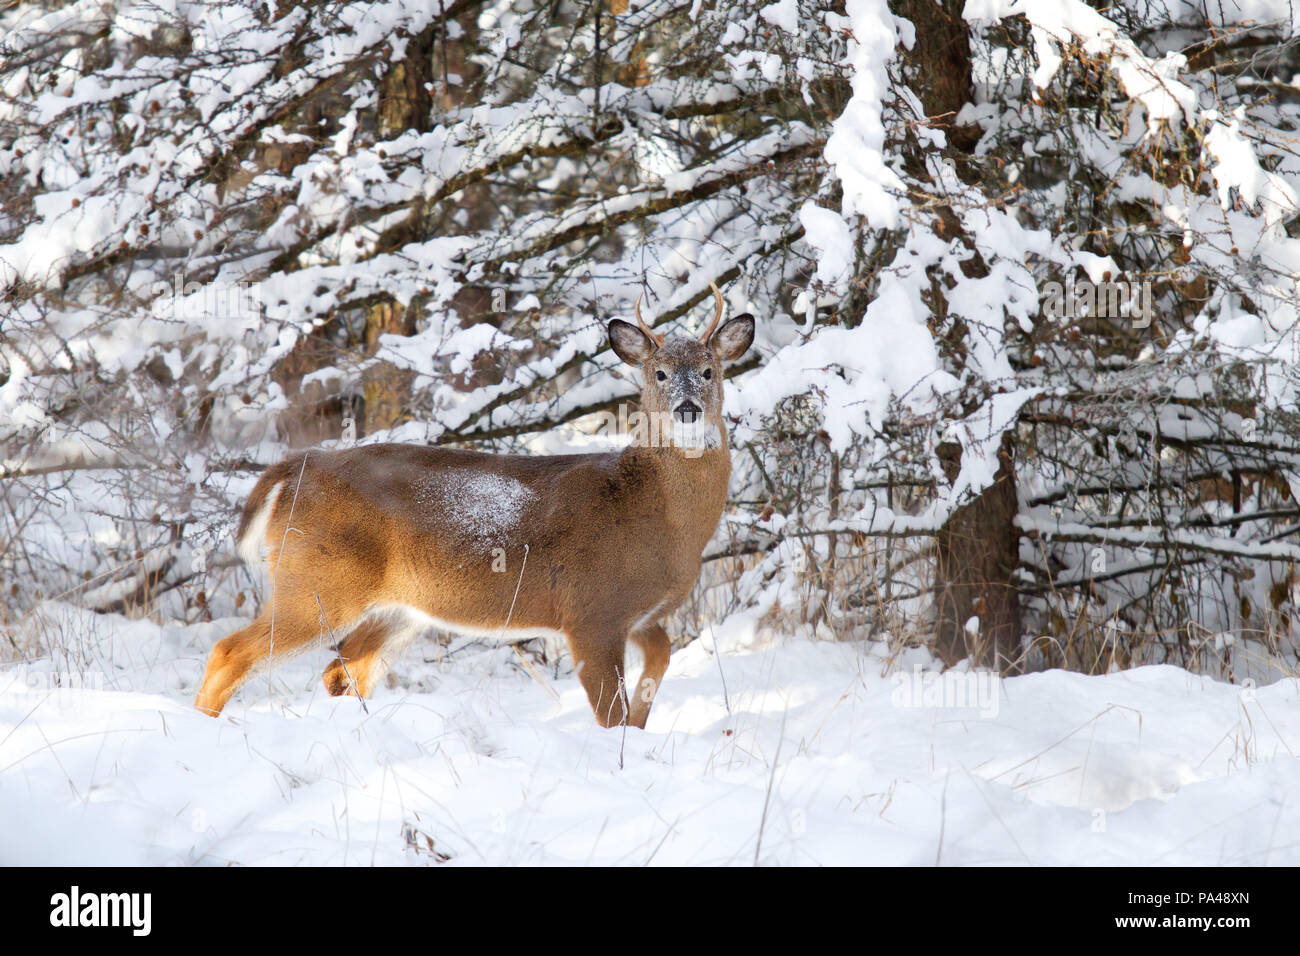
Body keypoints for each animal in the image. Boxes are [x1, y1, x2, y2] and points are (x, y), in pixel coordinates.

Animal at [194, 282, 756, 728]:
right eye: (659, 373)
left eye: (709, 370)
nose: (687, 408)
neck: (659, 516)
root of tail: (295, 470)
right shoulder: (590, 612)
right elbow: (610, 714)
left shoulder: (641, 617)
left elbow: (660, 661)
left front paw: (642, 729)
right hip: (316, 580)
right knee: (230, 650)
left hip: (398, 608)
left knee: (342, 671)